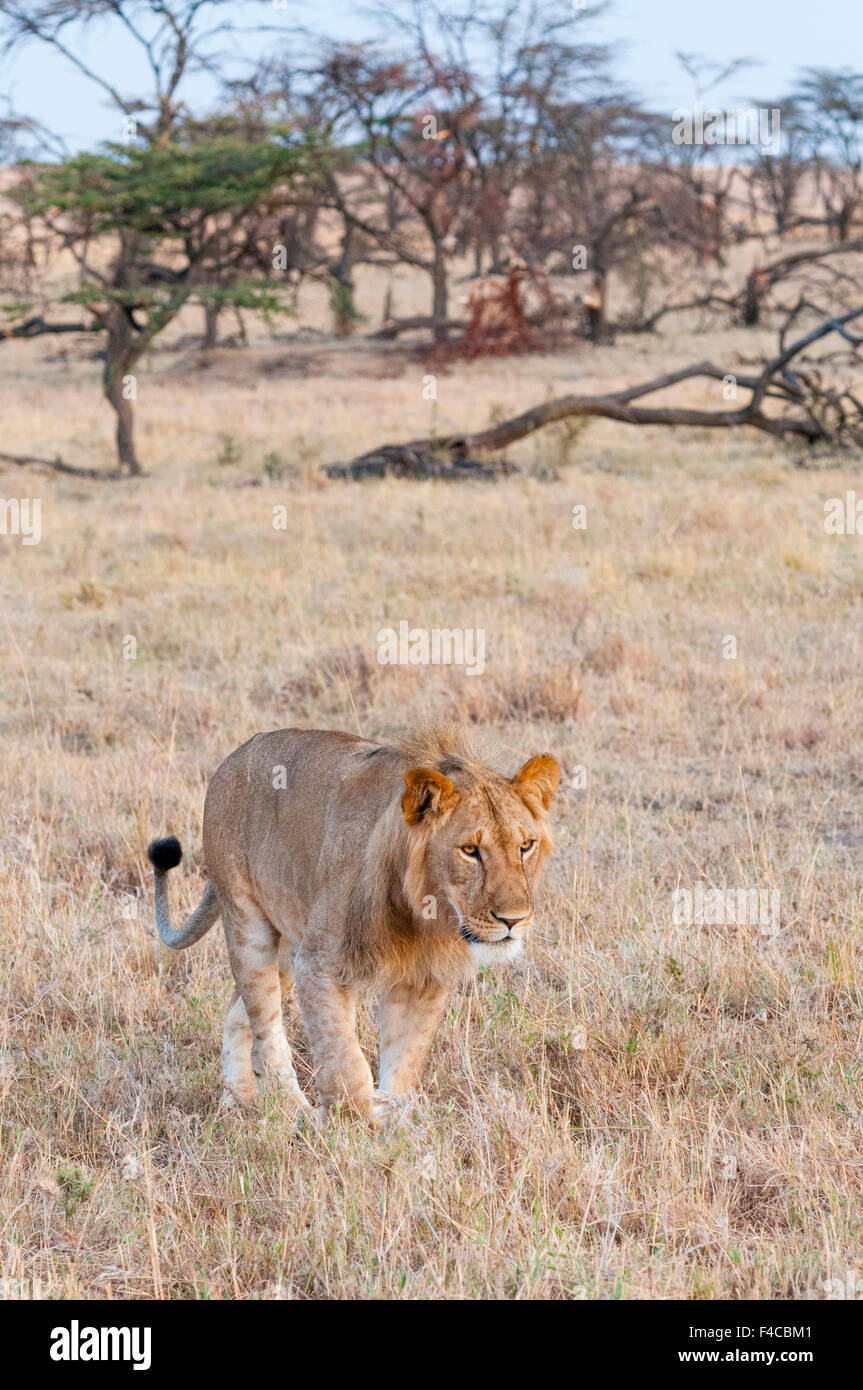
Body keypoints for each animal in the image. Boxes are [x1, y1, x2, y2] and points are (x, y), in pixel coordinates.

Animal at [147, 723, 559, 1121]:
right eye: (470, 851)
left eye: (526, 846)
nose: (514, 919)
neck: (423, 915)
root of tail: (235, 755)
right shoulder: (319, 965)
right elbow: (344, 1059)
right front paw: (354, 1126)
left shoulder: (425, 977)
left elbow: (405, 1059)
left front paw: (398, 1123)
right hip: (249, 922)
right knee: (265, 1024)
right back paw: (291, 1110)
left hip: (290, 942)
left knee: (239, 1011)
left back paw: (239, 1101)